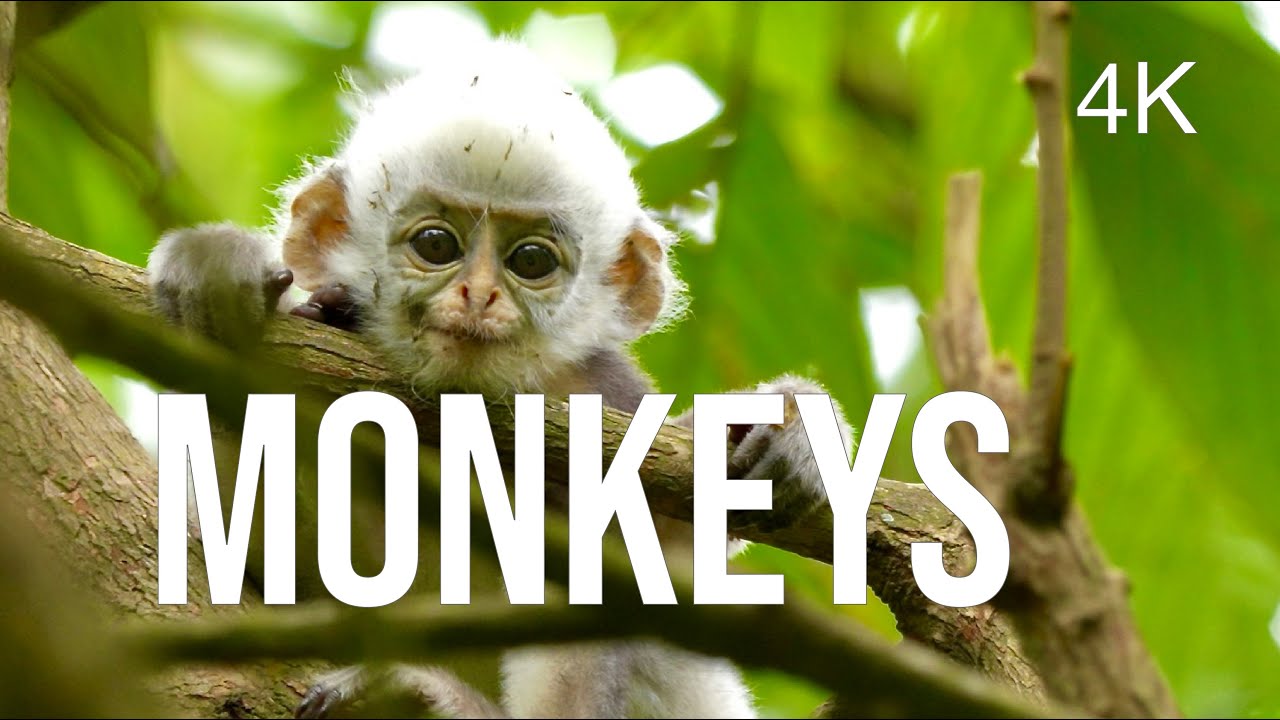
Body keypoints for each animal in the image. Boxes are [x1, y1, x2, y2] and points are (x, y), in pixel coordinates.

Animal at [147, 38, 853, 719]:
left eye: (531, 260)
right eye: (436, 245)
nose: (478, 295)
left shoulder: (605, 390)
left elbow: (669, 556)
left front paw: (789, 427)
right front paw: (219, 273)